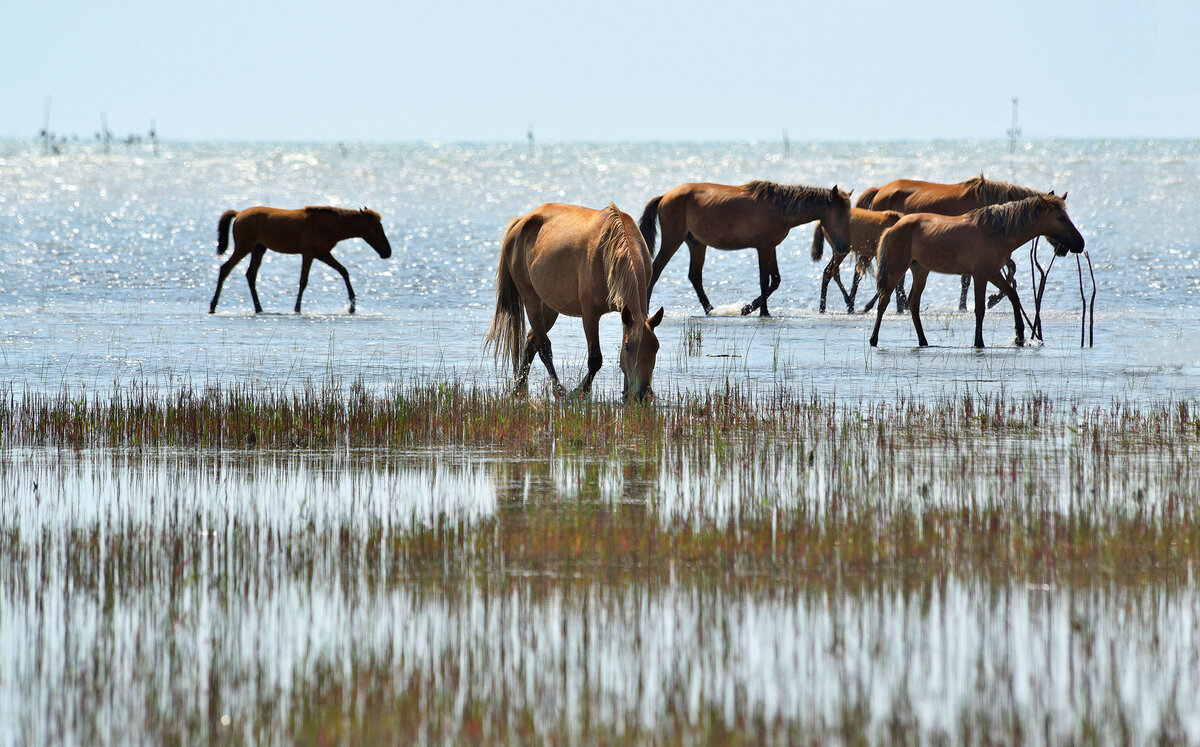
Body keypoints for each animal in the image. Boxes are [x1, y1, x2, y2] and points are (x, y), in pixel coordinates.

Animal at [208, 202, 391, 314]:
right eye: (376, 229)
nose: (387, 252)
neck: (330, 227)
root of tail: (238, 214)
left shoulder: (323, 254)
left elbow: (343, 271)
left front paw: (352, 306)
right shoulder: (308, 253)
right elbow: (303, 281)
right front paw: (297, 308)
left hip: (259, 248)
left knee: (250, 275)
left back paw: (259, 308)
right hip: (244, 247)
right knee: (226, 268)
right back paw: (213, 305)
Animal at [484, 202, 667, 403]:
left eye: (656, 347)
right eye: (628, 348)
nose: (644, 394)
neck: (611, 250)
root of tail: (520, 223)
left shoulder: (625, 314)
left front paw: (626, 393)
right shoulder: (590, 314)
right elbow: (595, 359)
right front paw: (580, 391)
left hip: (549, 306)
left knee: (532, 340)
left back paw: (519, 388)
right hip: (530, 299)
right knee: (543, 345)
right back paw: (558, 390)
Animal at [643, 184, 849, 319]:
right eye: (839, 213)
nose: (845, 246)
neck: (780, 208)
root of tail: (665, 196)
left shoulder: (771, 247)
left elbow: (775, 280)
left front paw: (749, 308)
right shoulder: (763, 247)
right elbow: (764, 281)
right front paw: (761, 311)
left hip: (696, 244)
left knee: (695, 276)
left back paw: (710, 310)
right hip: (673, 239)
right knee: (656, 269)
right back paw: (646, 307)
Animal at [873, 195, 1089, 353]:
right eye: (1060, 217)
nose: (1080, 243)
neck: (999, 232)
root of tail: (892, 228)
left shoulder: (993, 273)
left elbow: (1013, 295)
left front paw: (1019, 335)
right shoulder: (980, 275)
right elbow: (980, 309)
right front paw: (979, 342)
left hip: (920, 271)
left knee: (913, 303)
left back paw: (923, 341)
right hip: (896, 269)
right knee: (883, 301)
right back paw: (873, 339)